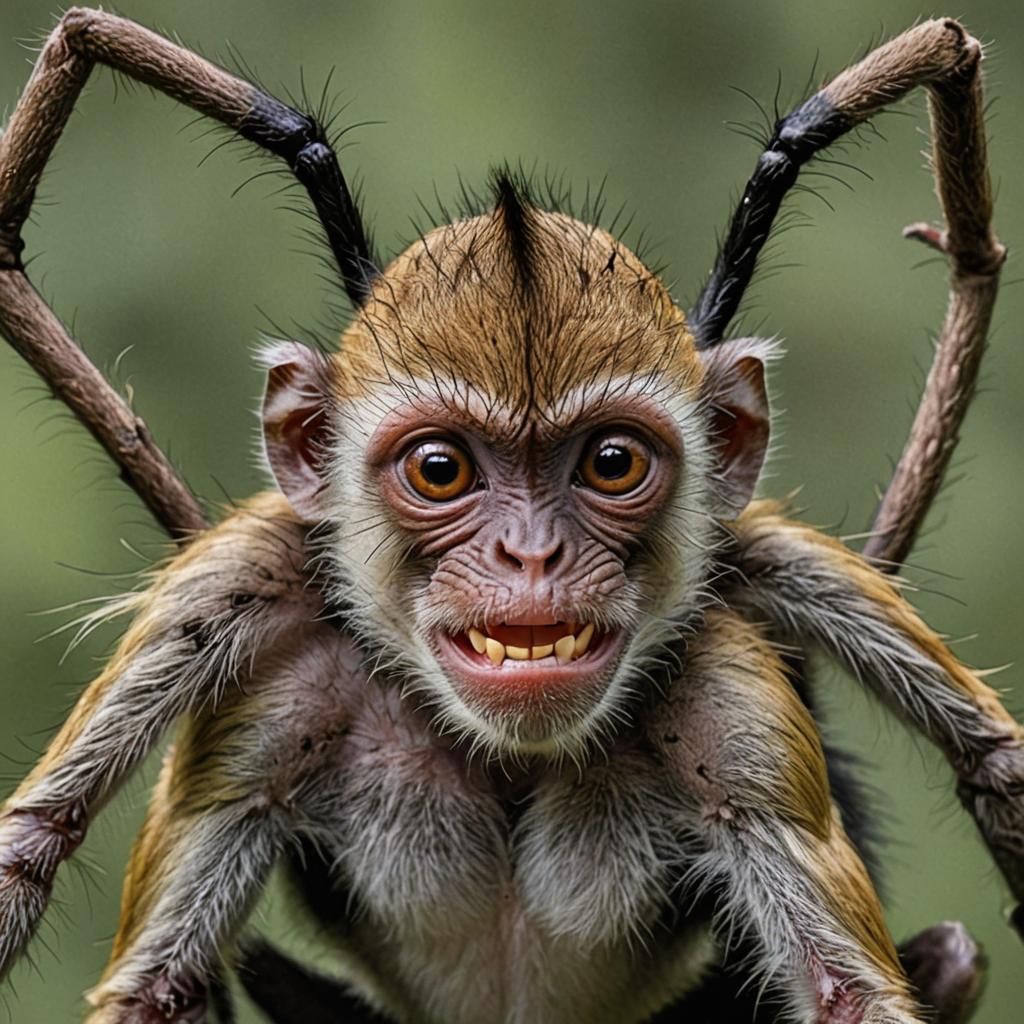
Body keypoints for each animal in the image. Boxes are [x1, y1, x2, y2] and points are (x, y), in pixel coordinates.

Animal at [1, 10, 1022, 1024]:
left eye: (612, 463)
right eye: (440, 469)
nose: (532, 556)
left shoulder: (741, 682)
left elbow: (979, 788)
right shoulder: (251, 601)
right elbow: (54, 870)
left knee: (953, 955)